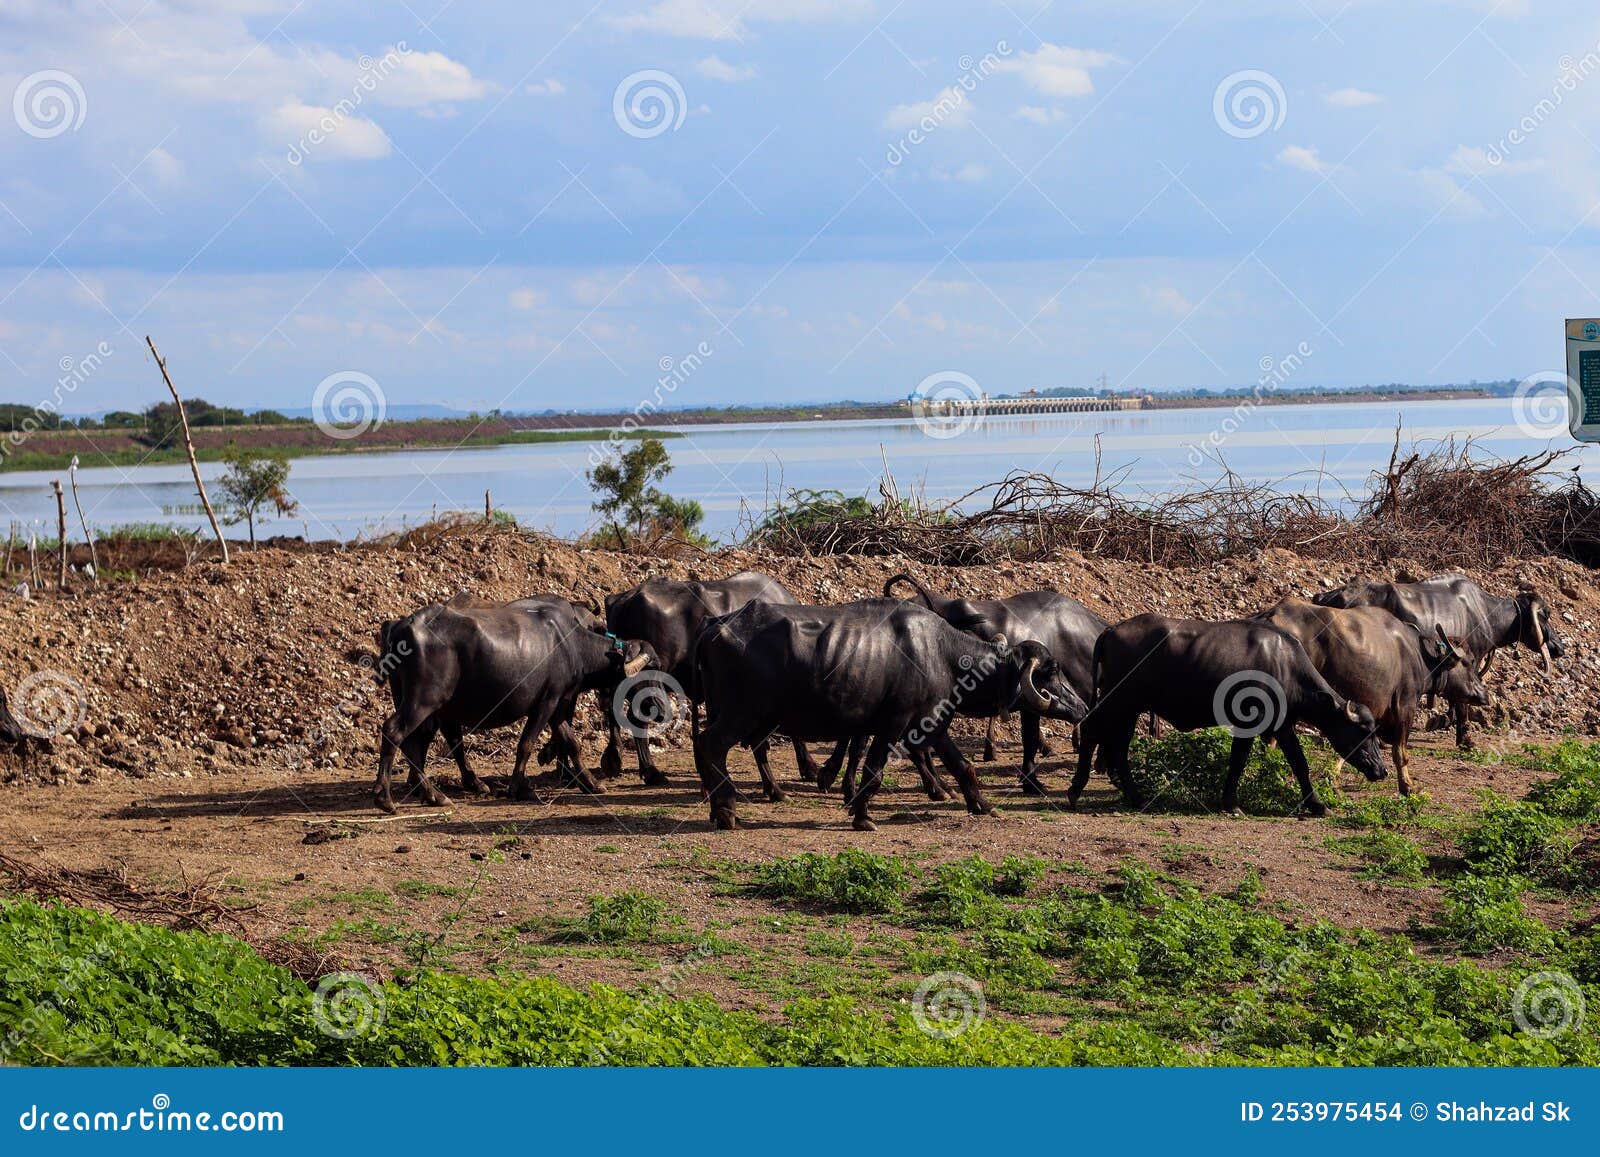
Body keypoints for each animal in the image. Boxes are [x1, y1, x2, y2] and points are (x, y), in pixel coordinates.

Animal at [692, 598, 1088, 831]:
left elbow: (962, 766)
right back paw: (726, 811)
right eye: (1051, 671)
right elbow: (874, 772)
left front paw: (982, 804)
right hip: (743, 714)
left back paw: (719, 807)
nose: (1083, 706)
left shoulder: (935, 724)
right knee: (712, 745)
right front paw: (863, 815)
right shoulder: (893, 725)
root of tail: (717, 624)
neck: (942, 654)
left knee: (706, 748)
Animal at [1071, 614, 1387, 816]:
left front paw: (1316, 804)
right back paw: (1077, 788)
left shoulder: (1283, 726)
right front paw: (1231, 803)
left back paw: (1134, 797)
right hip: (1119, 700)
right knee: (1091, 729)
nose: (1382, 770)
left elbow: (1299, 763)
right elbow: (1239, 762)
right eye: (1364, 732)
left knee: (1118, 744)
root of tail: (1111, 630)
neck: (1285, 667)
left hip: (1129, 706)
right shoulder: (1250, 724)